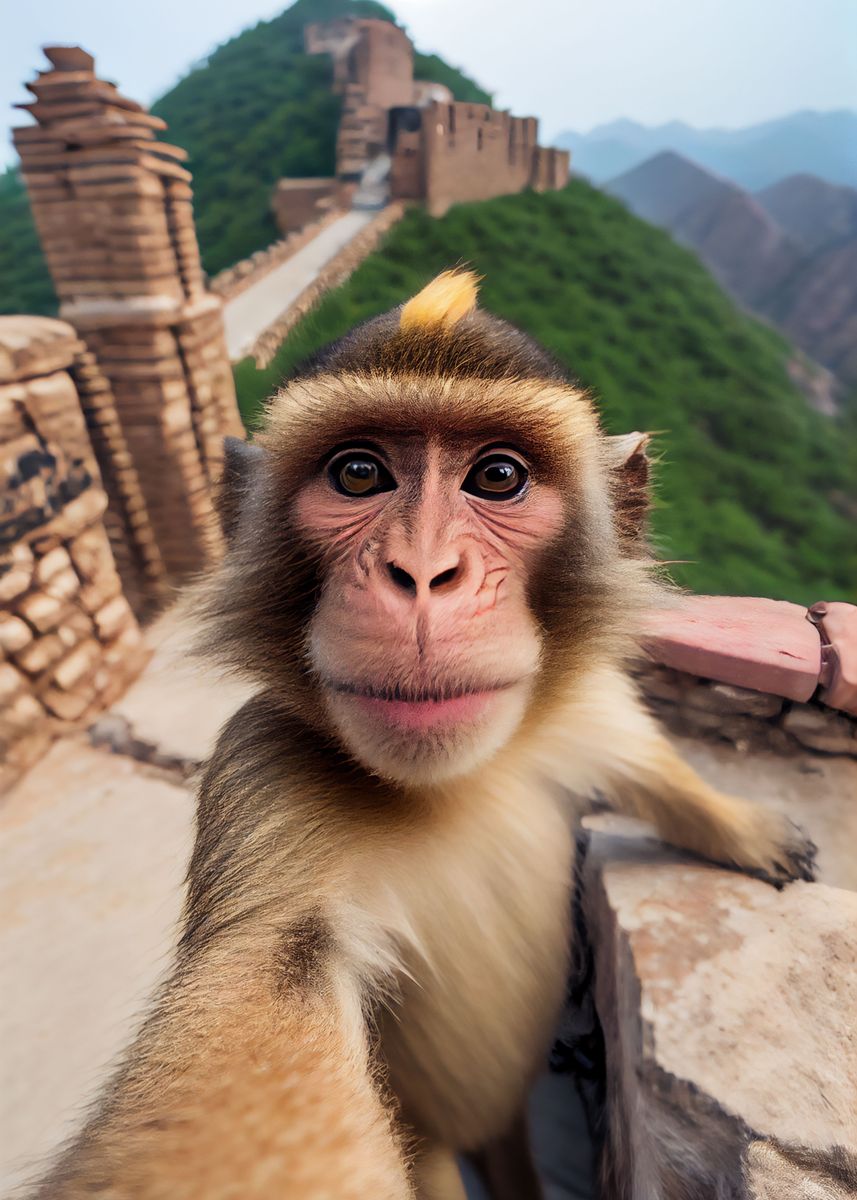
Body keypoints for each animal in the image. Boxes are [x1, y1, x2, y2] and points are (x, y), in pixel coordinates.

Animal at [32, 269, 816, 1200]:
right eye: (358, 473)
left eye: (499, 476)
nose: (422, 572)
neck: (459, 782)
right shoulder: (266, 776)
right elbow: (275, 974)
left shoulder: (578, 709)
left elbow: (646, 768)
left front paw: (743, 828)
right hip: (432, 1145)